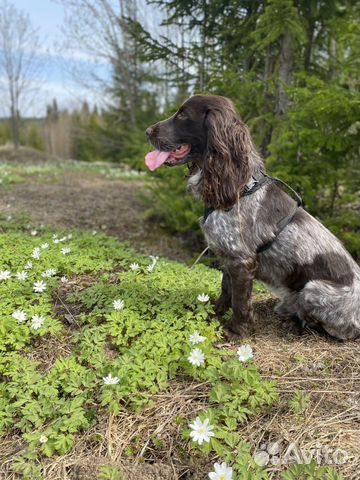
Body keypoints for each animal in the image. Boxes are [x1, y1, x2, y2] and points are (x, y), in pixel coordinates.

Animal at [145, 94, 360, 342]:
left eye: (182, 115)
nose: (147, 131)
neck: (240, 188)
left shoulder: (242, 261)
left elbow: (240, 302)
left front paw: (236, 331)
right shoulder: (228, 256)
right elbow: (226, 289)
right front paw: (216, 313)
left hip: (314, 289)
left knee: (334, 330)